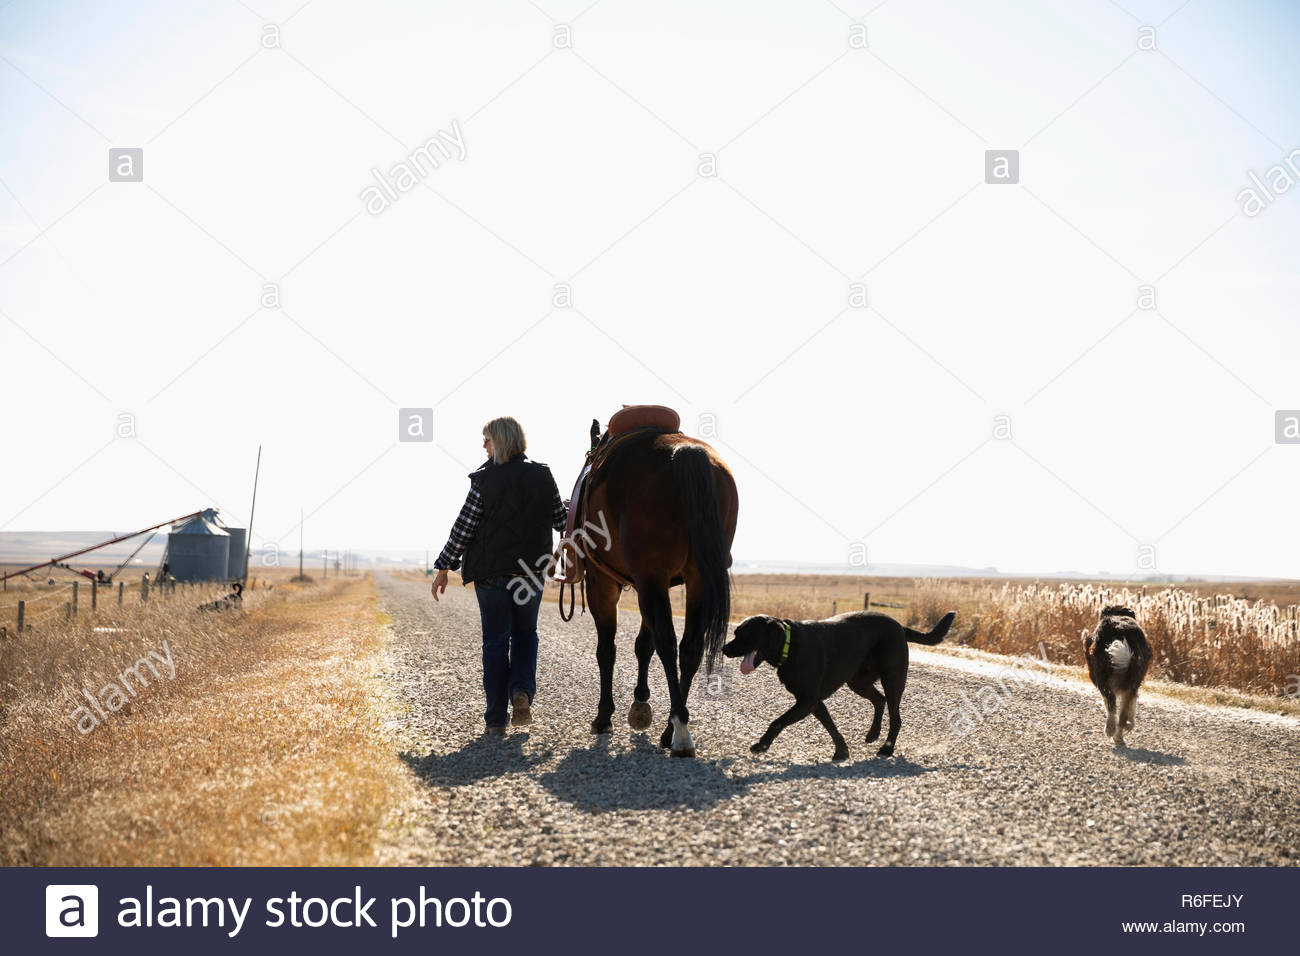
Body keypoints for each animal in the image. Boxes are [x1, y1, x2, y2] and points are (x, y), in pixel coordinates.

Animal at [570, 414, 739, 757]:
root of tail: (686, 453)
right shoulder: (647, 582)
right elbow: (642, 644)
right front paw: (640, 704)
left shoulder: (603, 582)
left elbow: (607, 649)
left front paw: (604, 716)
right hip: (695, 580)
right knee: (689, 648)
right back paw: (671, 728)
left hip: (649, 579)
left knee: (668, 643)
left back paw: (680, 731)